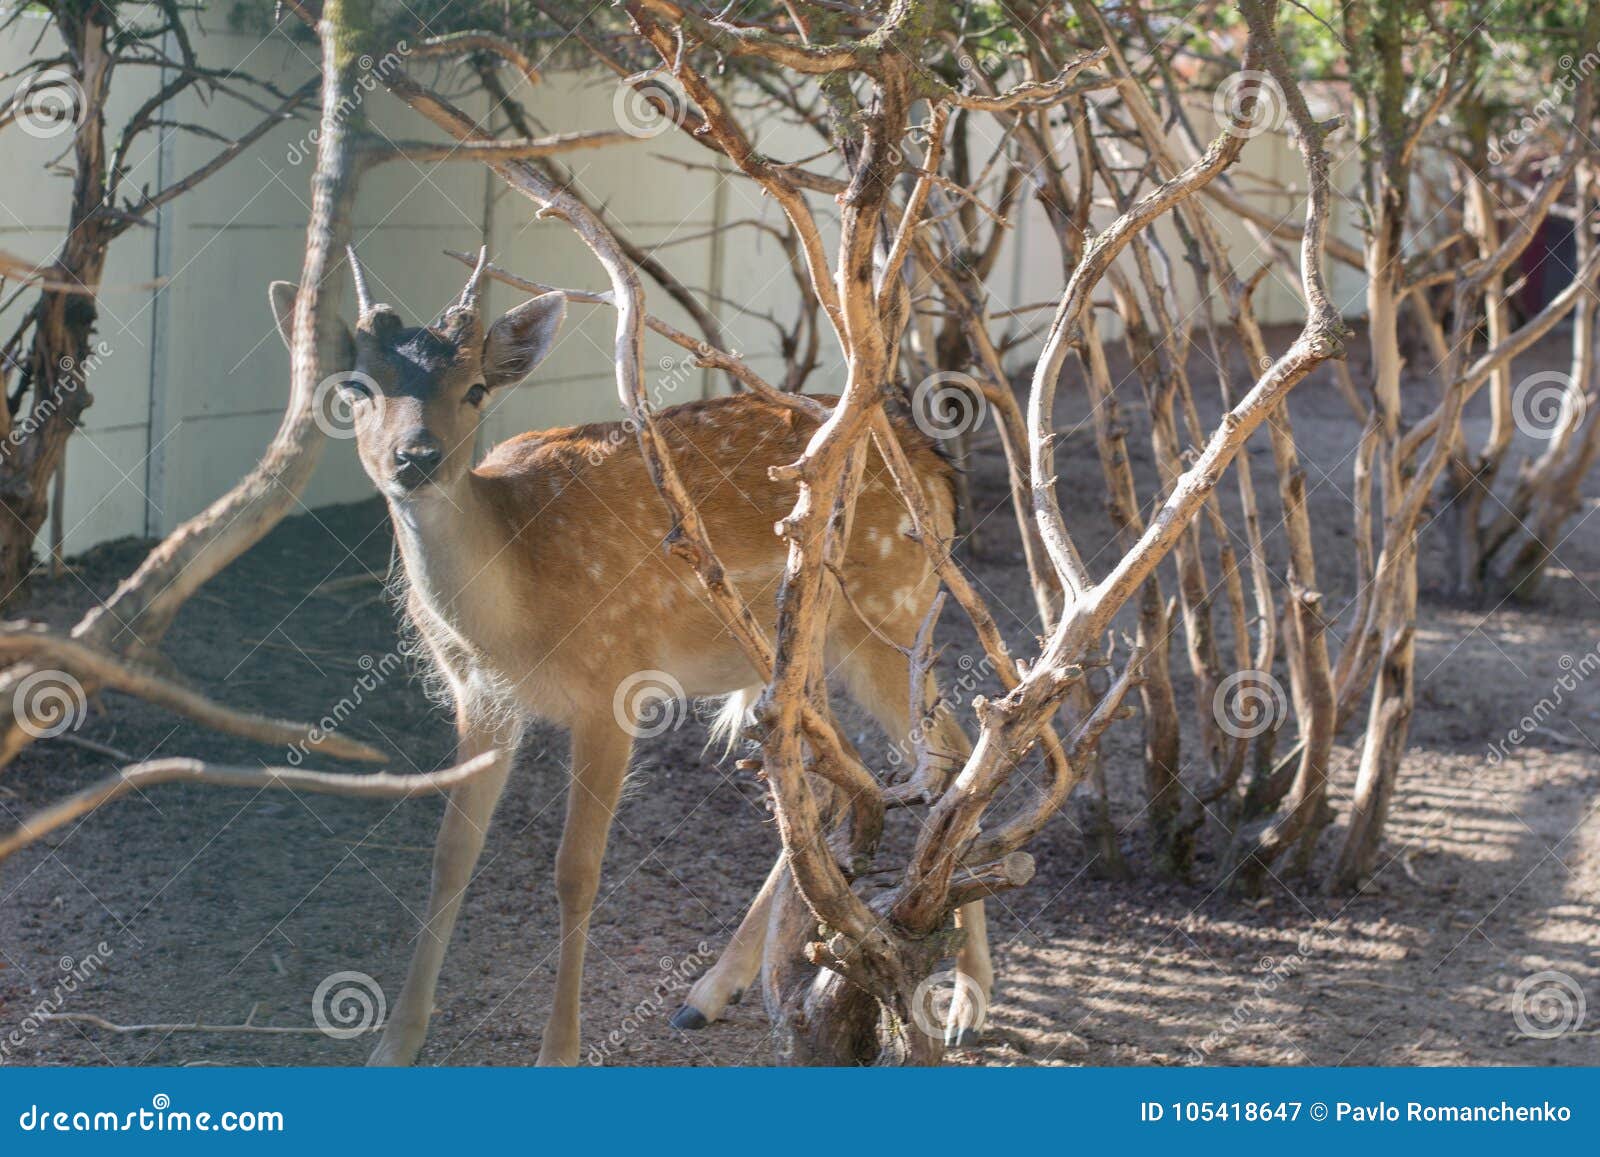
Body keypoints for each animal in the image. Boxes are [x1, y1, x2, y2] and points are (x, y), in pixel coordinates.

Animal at [267, 248, 989, 1066]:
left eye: (475, 387)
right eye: (357, 387)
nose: (414, 458)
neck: (513, 607)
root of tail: (936, 467)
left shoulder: (614, 679)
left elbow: (575, 871)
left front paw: (558, 1051)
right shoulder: (478, 696)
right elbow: (451, 853)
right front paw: (394, 1044)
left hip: (888, 614)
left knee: (951, 753)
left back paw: (966, 1002)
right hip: (801, 653)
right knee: (835, 785)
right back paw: (709, 993)